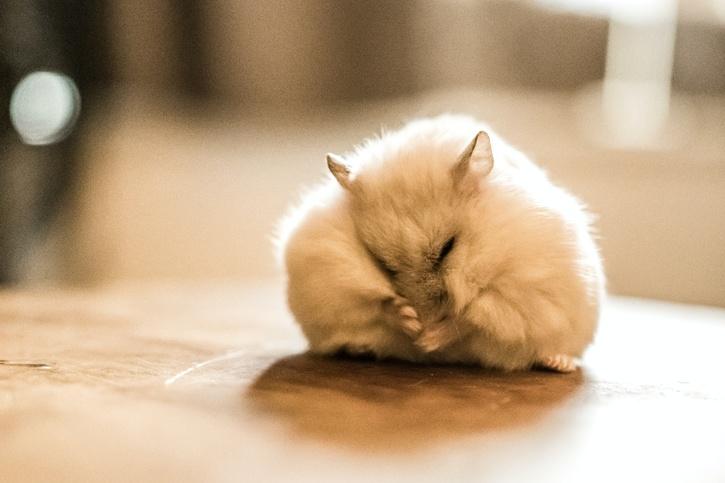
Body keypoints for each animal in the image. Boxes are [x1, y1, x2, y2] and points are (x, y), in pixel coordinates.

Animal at [276, 115, 604, 372]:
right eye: (382, 264)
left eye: (448, 248)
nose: (426, 321)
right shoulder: (328, 279)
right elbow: (377, 305)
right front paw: (410, 323)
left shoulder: (521, 290)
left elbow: (472, 317)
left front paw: (429, 339)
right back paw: (360, 350)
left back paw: (558, 363)